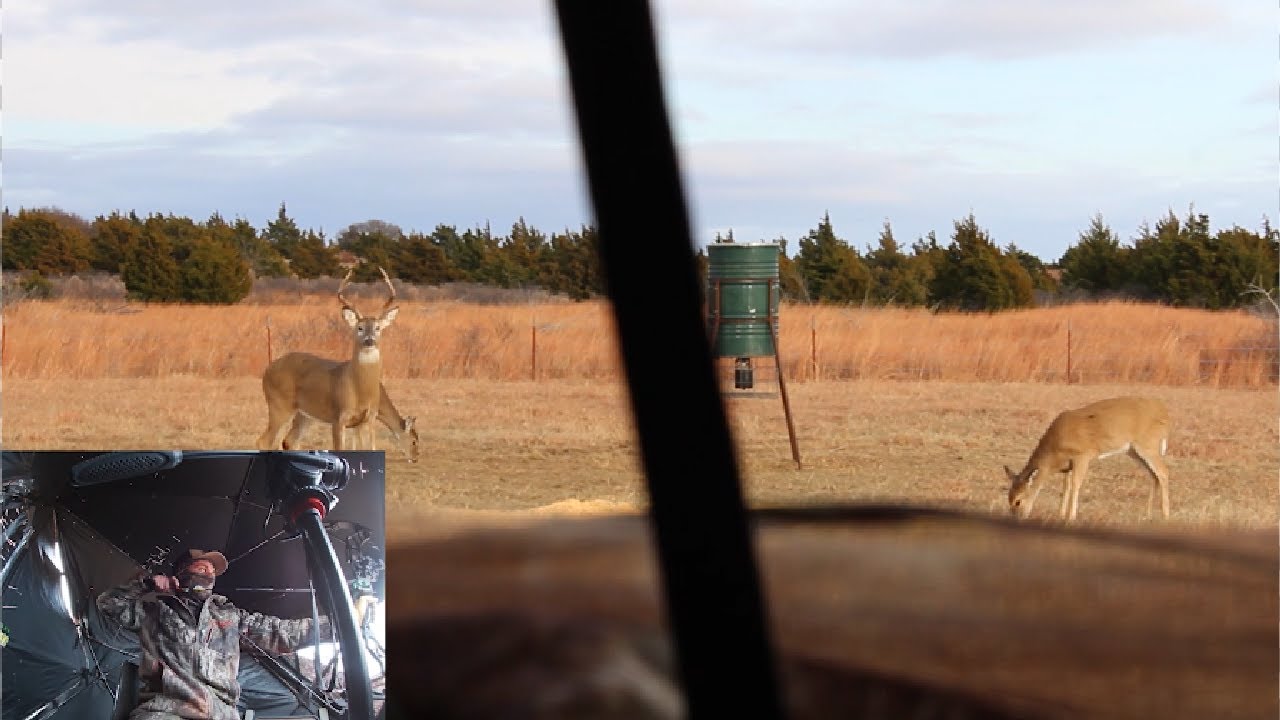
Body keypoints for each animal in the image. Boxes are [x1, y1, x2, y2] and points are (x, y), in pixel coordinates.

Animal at [256, 267, 400, 452]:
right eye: (359, 328)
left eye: (378, 328)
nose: (369, 341)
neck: (360, 389)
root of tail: (268, 369)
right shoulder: (338, 417)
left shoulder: (367, 419)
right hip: (279, 405)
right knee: (264, 441)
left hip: (304, 414)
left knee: (289, 441)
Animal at [1004, 396, 1171, 522]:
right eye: (1008, 498)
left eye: (1018, 501)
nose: (1015, 519)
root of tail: (1165, 413)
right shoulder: (1069, 464)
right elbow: (1066, 486)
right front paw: (1061, 514)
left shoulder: (1083, 455)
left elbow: (1076, 484)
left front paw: (1071, 517)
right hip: (1133, 451)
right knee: (1154, 475)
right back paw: (1147, 516)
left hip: (1147, 445)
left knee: (1163, 472)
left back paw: (1165, 515)